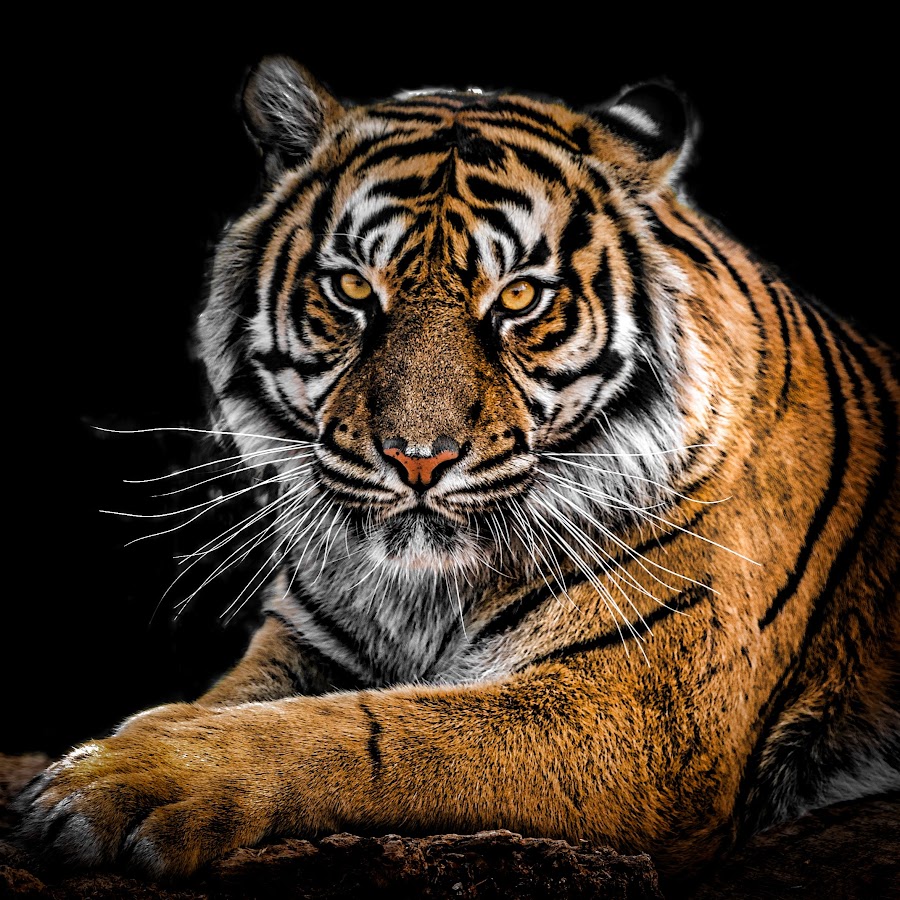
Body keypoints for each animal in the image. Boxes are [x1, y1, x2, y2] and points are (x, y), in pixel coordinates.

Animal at [14, 56, 899, 888]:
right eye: (350, 288)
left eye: (518, 298)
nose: (419, 459)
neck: (421, 593)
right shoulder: (304, 642)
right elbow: (233, 703)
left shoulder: (642, 715)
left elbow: (368, 733)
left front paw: (126, 781)